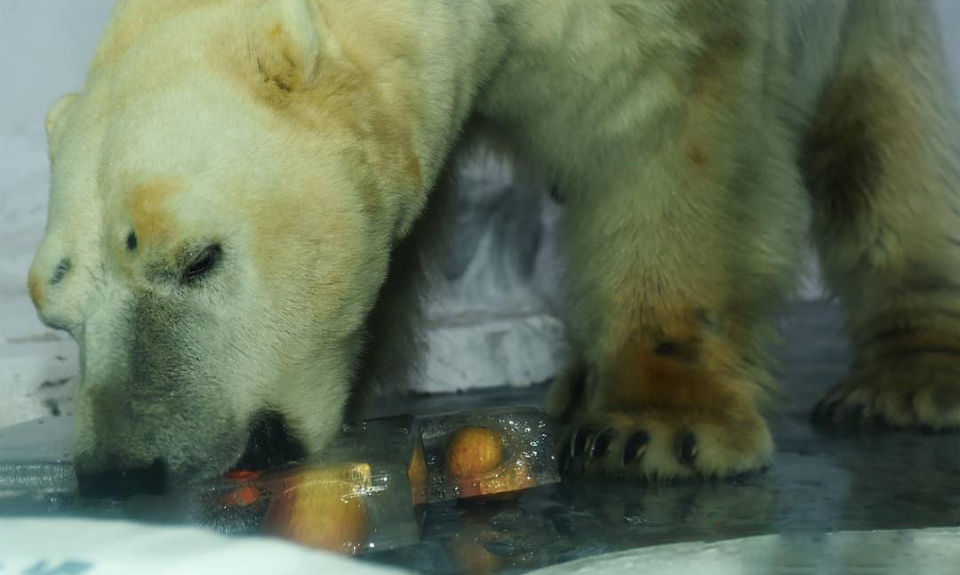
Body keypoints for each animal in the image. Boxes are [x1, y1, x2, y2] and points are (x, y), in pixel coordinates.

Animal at [27, 0, 960, 487]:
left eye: (197, 257)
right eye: (55, 304)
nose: (121, 469)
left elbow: (670, 141)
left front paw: (654, 427)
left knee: (882, 131)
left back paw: (908, 378)